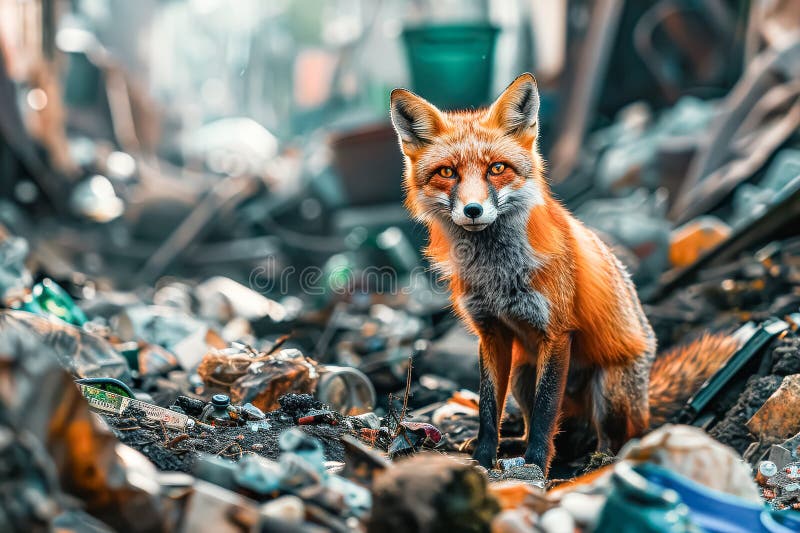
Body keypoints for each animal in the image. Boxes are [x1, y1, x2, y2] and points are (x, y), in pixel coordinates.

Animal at [389, 73, 740, 474]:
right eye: (447, 172)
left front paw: (537, 467)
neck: (497, 274)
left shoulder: (556, 333)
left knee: (613, 438)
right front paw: (483, 458)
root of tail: (647, 400)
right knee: (546, 425)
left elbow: (545, 413)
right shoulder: (490, 333)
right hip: (522, 374)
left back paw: (596, 464)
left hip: (609, 390)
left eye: (497, 168)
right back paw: (516, 445)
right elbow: (488, 409)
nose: (473, 210)